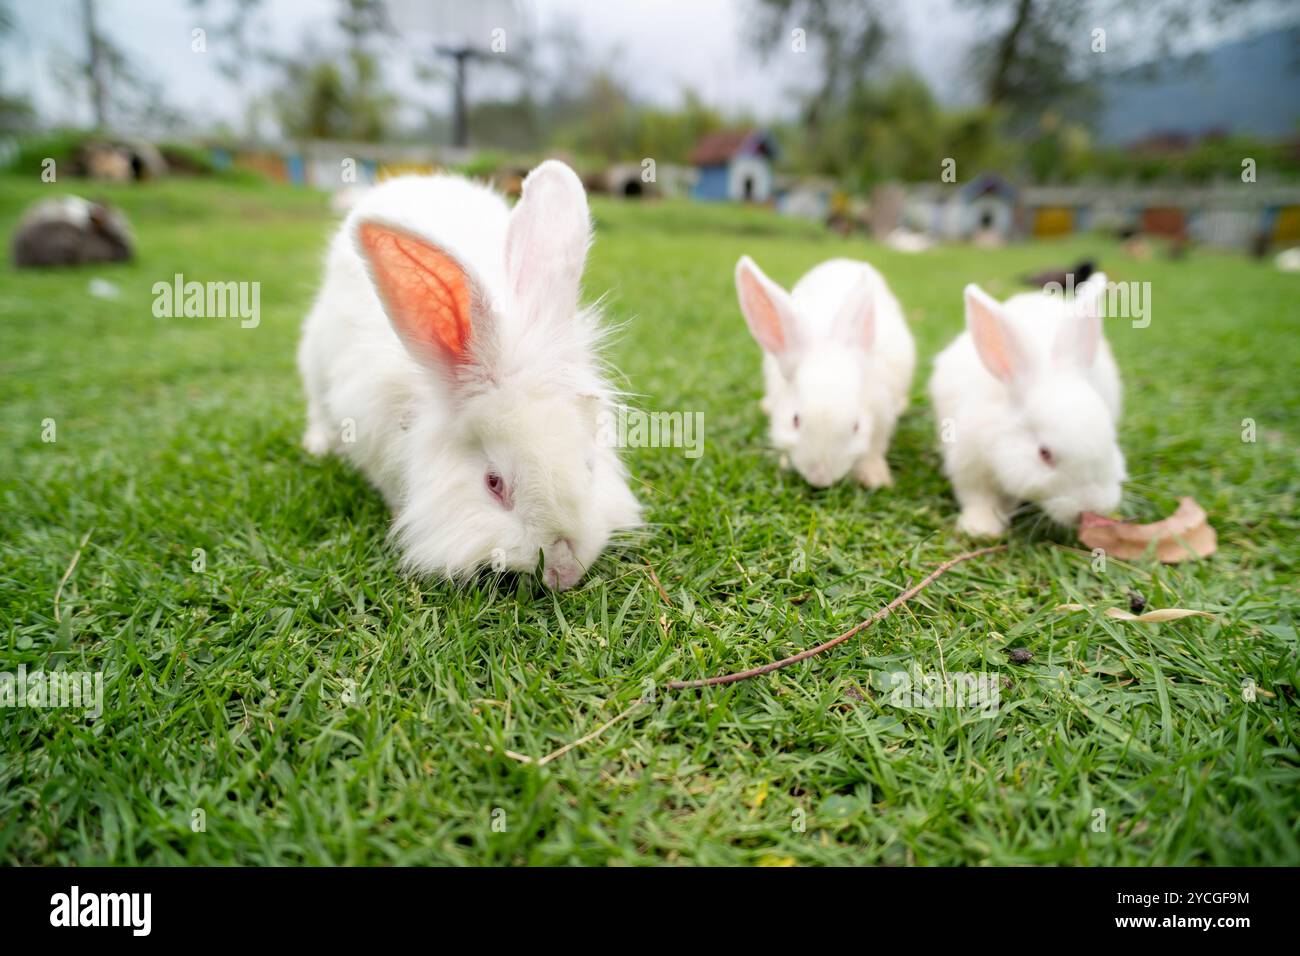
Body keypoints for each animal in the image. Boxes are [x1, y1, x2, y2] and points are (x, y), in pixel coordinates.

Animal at [734, 256, 915, 489]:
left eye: (856, 426)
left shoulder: (882, 419)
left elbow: (873, 450)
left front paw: (876, 478)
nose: (820, 479)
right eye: (795, 420)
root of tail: (844, 260)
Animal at [929, 272, 1126, 537]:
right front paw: (981, 527)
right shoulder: (968, 464)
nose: (1094, 509)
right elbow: (978, 498)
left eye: (1111, 441)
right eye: (1044, 454)